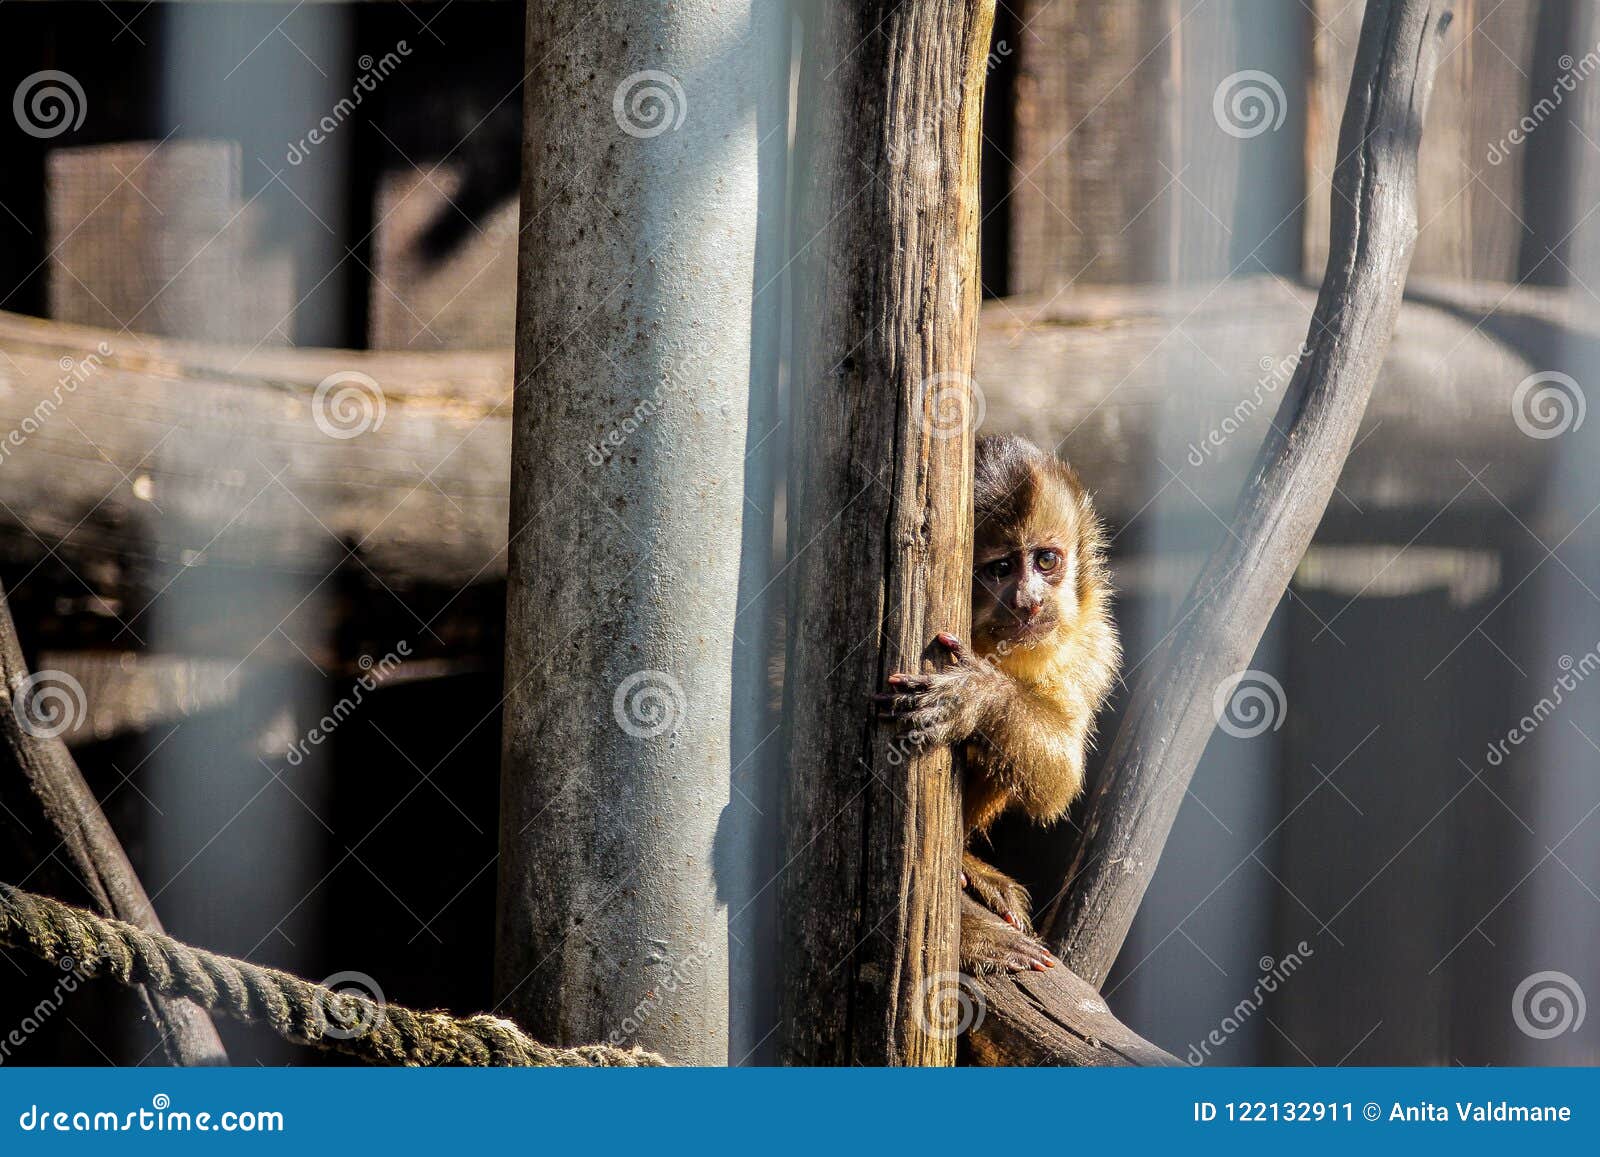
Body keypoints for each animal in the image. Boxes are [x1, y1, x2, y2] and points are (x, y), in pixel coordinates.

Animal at [876, 434, 1120, 974]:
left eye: (1046, 561)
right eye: (1001, 569)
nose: (1029, 602)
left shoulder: (1093, 642)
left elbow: (1060, 773)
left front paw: (976, 697)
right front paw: (970, 935)